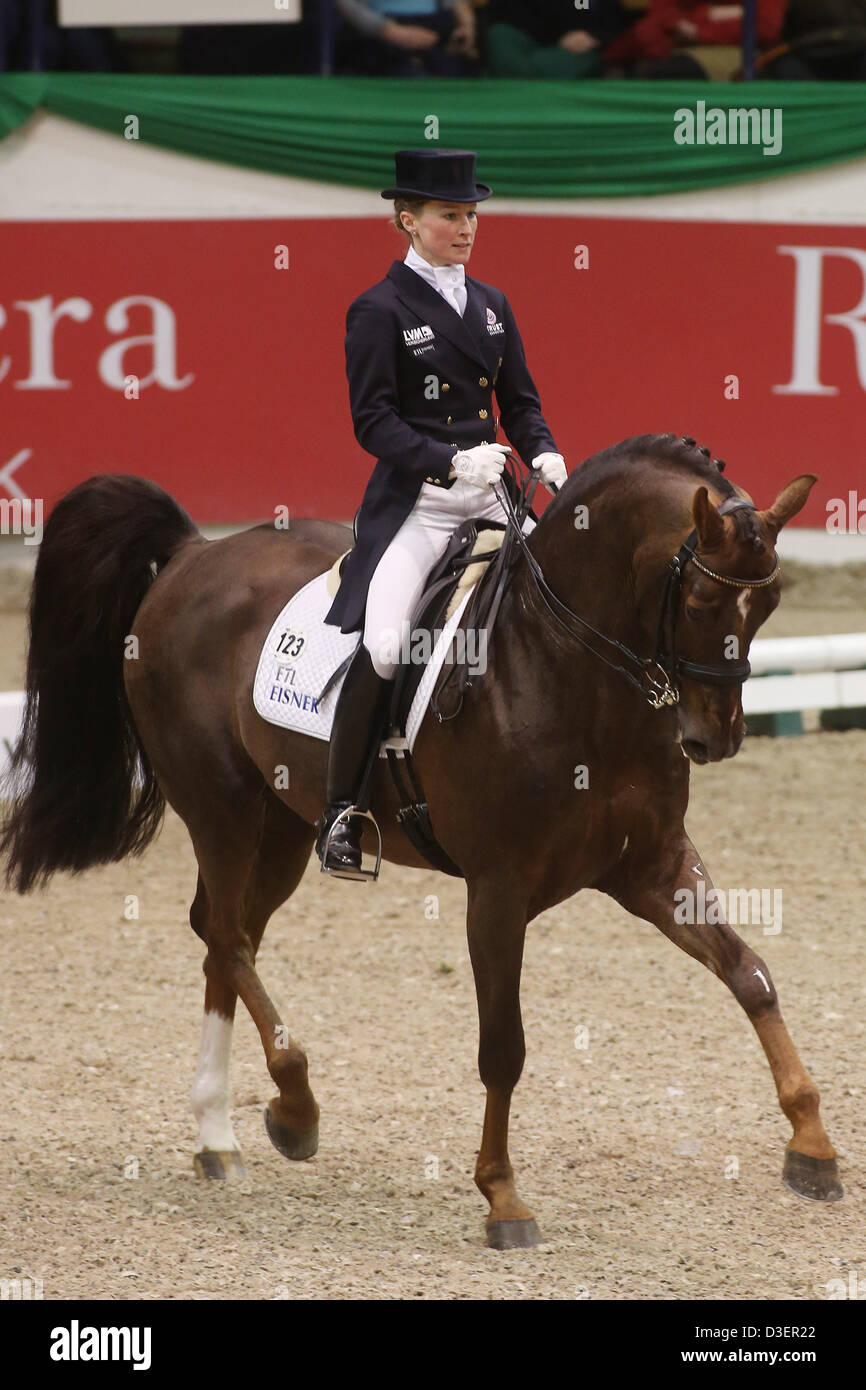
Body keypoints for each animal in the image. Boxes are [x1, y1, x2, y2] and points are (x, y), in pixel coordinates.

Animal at [1, 433, 842, 1251]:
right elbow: (504, 1046)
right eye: (701, 598)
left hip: (281, 828)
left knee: (224, 938)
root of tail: (190, 554)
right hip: (222, 807)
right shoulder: (498, 890)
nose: (716, 738)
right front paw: (503, 1198)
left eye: (768, 602)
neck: (571, 668)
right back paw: (295, 1107)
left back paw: (219, 1136)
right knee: (227, 935)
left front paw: (813, 1145)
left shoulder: (653, 864)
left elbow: (751, 975)